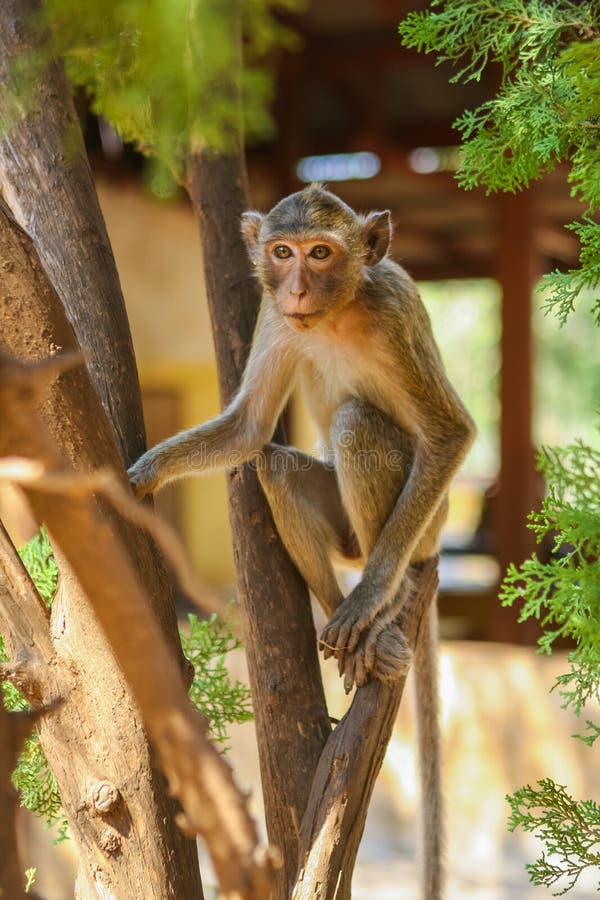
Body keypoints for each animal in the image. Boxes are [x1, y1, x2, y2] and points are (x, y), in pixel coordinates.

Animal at [128, 183, 475, 899]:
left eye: (321, 254)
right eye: (282, 252)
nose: (294, 288)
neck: (337, 315)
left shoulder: (395, 307)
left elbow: (450, 432)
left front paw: (370, 597)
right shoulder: (274, 319)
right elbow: (249, 429)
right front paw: (146, 475)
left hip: (422, 522)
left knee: (356, 424)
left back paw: (378, 612)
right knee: (278, 467)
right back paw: (340, 615)